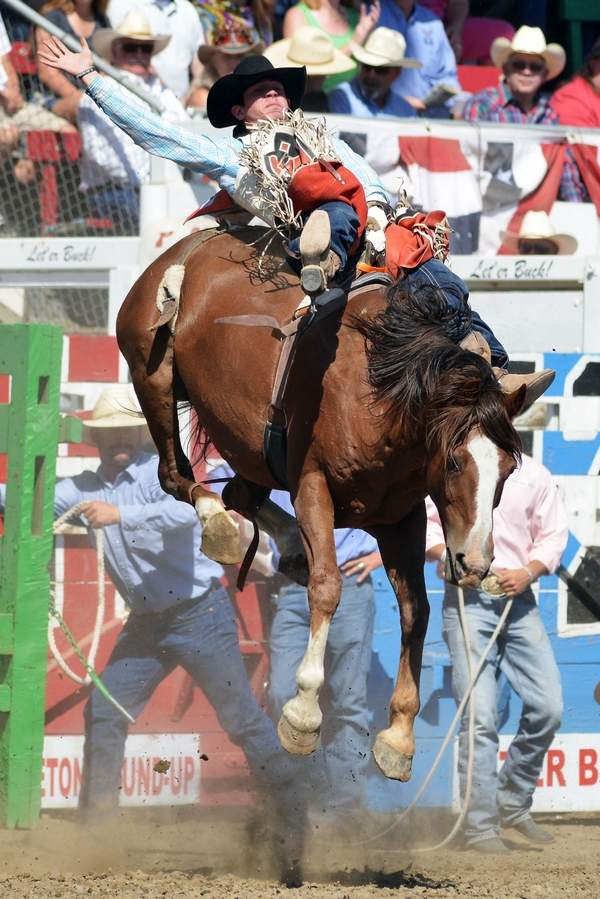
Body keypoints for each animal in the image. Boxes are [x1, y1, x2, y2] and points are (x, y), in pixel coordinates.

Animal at [116, 225, 524, 783]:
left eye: (508, 469)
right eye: (455, 462)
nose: (476, 562)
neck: (379, 392)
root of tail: (185, 248)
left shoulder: (402, 519)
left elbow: (414, 610)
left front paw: (398, 738)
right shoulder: (311, 485)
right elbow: (328, 587)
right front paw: (303, 714)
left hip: (242, 437)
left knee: (238, 491)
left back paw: (285, 544)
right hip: (152, 375)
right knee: (176, 475)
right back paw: (219, 527)